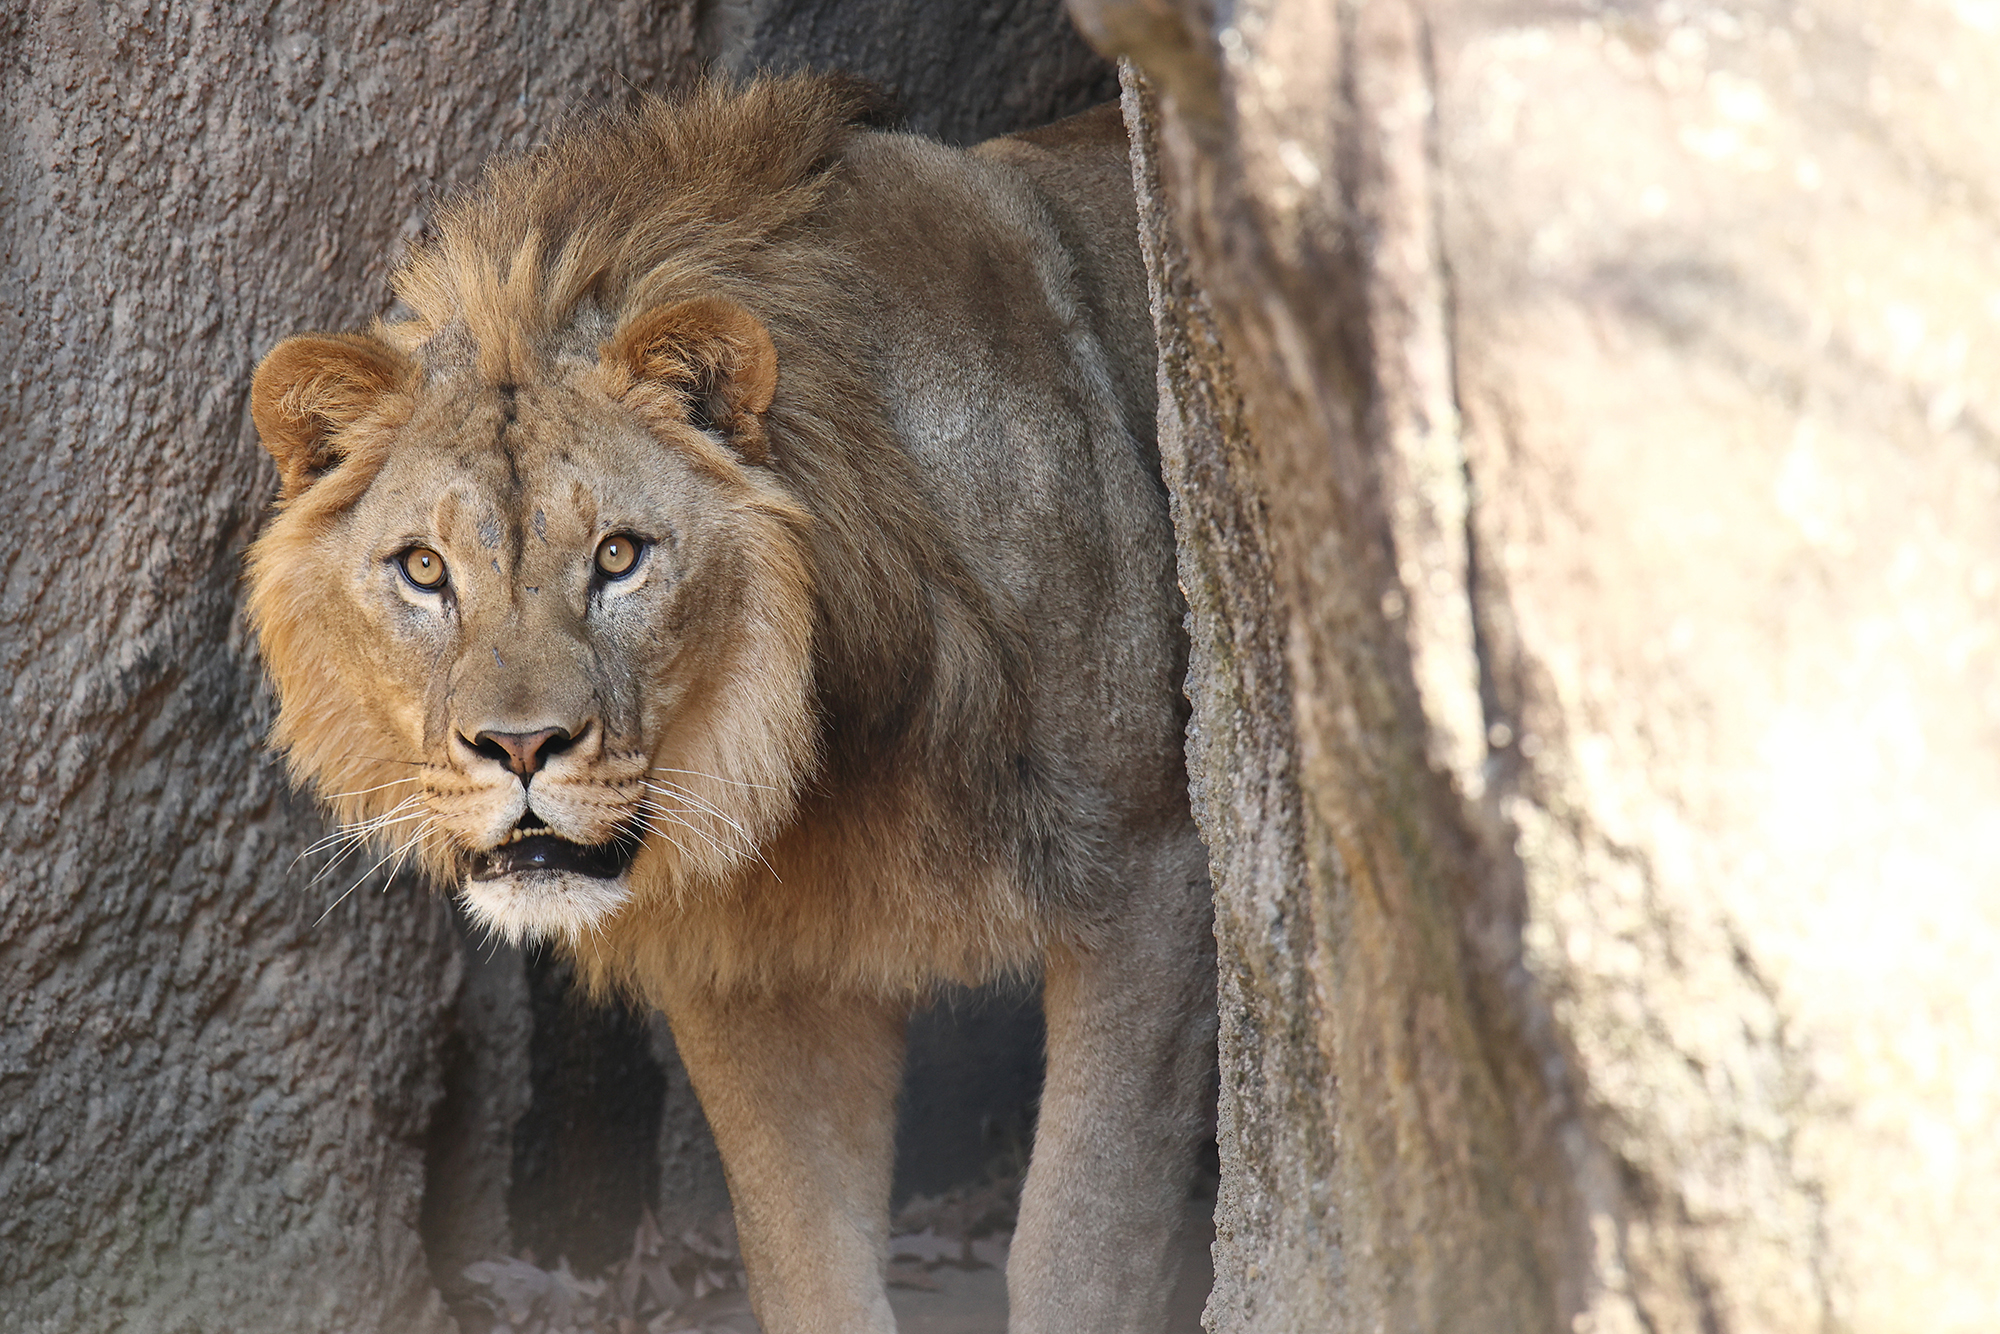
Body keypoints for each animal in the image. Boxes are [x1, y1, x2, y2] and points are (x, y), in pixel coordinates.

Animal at [245, 75, 1214, 1334]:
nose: (519, 744)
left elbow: (1079, 1245)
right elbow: (806, 1259)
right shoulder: (747, 965)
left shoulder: (1150, 875)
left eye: (617, 556)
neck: (806, 770)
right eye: (422, 569)